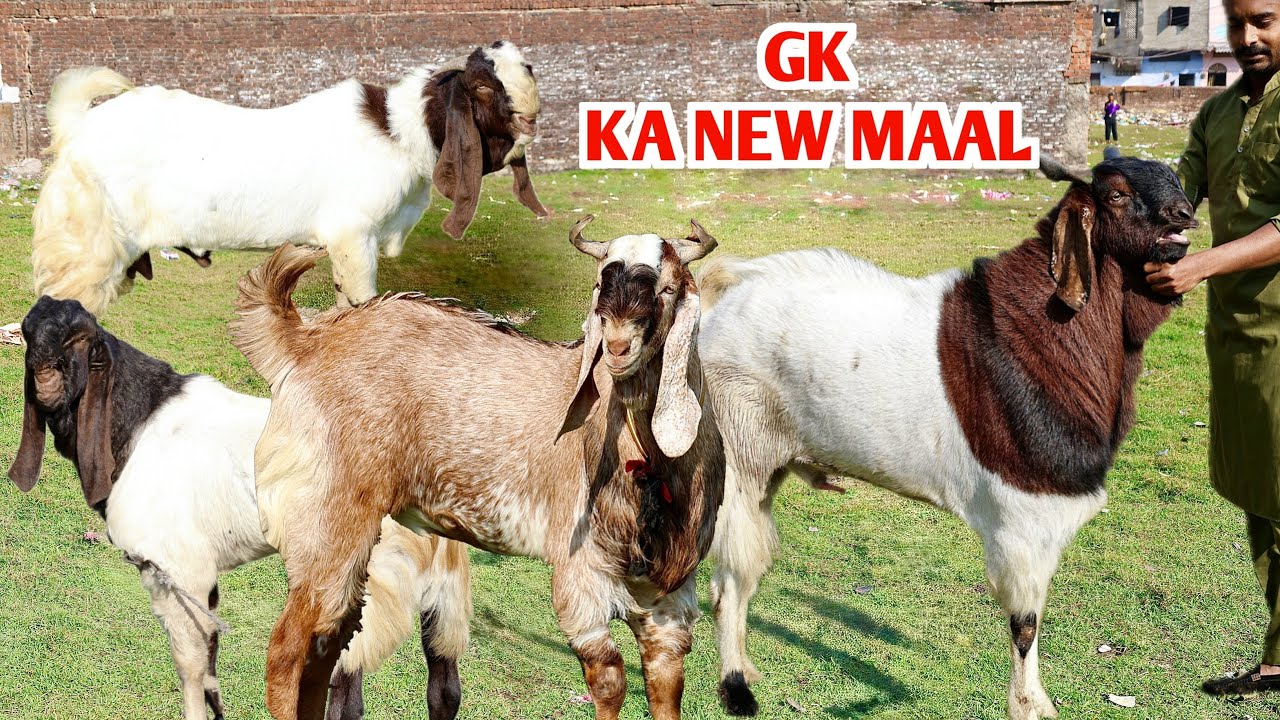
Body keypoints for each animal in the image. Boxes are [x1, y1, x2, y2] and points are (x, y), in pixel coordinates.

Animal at [7, 296, 472, 720]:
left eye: (78, 345)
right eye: (29, 336)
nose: (46, 384)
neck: (140, 419)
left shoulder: (178, 570)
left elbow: (192, 668)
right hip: (440, 594)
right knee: (444, 687)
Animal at [31, 41, 547, 316]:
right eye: (482, 86)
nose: (506, 50)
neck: (400, 132)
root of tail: (76, 126)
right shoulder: (353, 235)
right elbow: (361, 302)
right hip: (84, 253)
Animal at [228, 217, 724, 720]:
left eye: (667, 288)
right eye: (600, 285)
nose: (618, 346)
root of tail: (304, 341)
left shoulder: (669, 597)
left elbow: (666, 684)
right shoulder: (580, 574)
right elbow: (608, 679)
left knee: (325, 649)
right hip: (327, 524)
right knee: (287, 652)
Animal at [694, 157, 1197, 720]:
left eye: (1175, 179)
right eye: (1115, 194)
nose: (1184, 215)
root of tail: (720, 296)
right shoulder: (1020, 519)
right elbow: (1025, 623)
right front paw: (1027, 705)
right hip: (741, 457)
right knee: (731, 579)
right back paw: (737, 687)